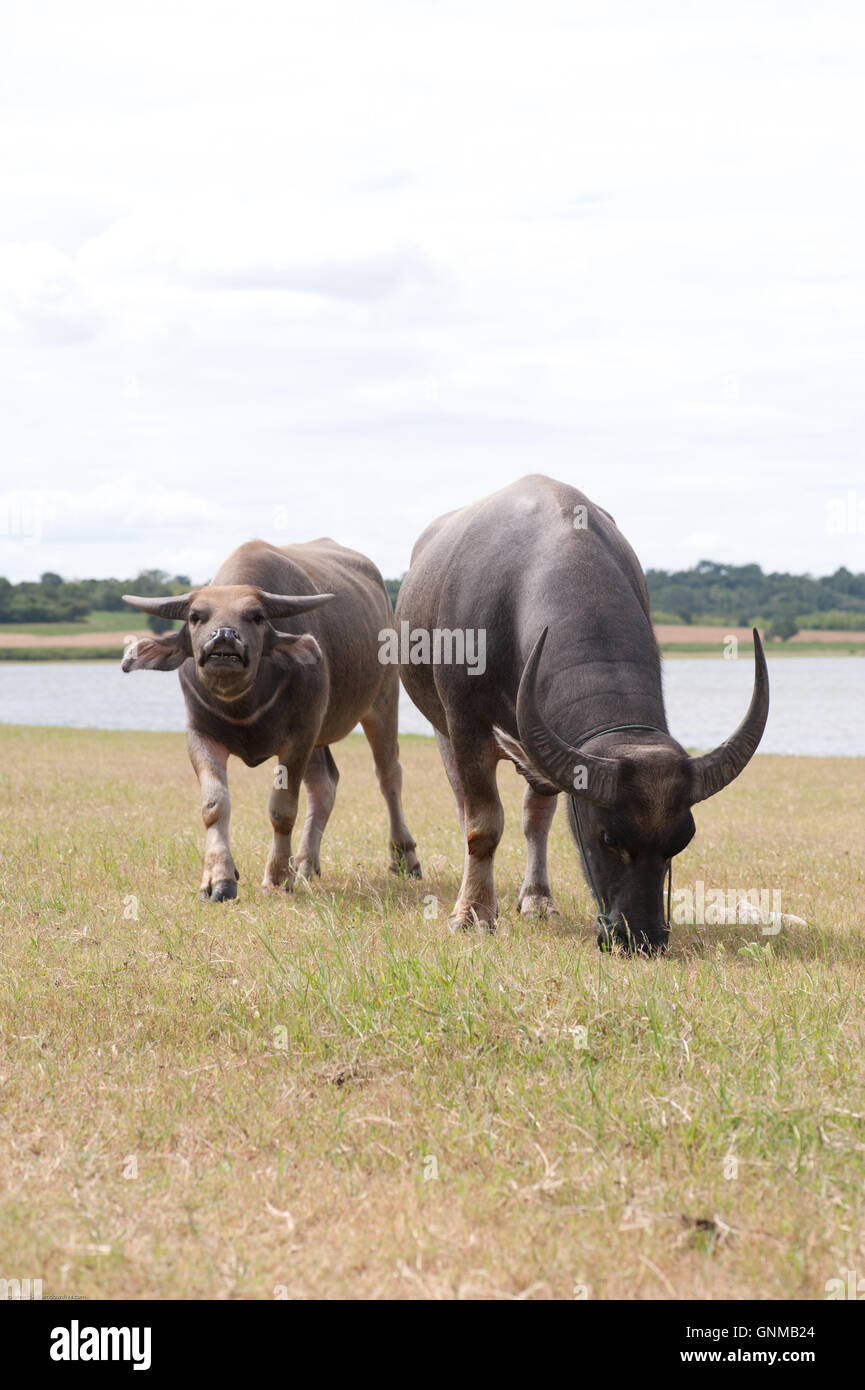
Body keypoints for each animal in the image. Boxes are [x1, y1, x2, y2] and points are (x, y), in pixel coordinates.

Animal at [122, 538, 421, 900]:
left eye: (257, 616)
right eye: (195, 617)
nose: (224, 636)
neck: (242, 704)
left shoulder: (299, 736)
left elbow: (282, 809)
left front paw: (277, 876)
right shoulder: (201, 736)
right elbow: (214, 804)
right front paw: (219, 879)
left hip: (382, 701)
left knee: (388, 776)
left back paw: (404, 858)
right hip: (320, 734)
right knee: (324, 785)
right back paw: (305, 864)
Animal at [395, 475, 768, 954]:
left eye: (682, 840)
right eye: (608, 837)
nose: (642, 937)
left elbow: (533, 819)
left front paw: (528, 902)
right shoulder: (465, 724)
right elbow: (482, 827)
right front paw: (474, 914)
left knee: (535, 817)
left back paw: (537, 900)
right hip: (443, 730)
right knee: (467, 809)